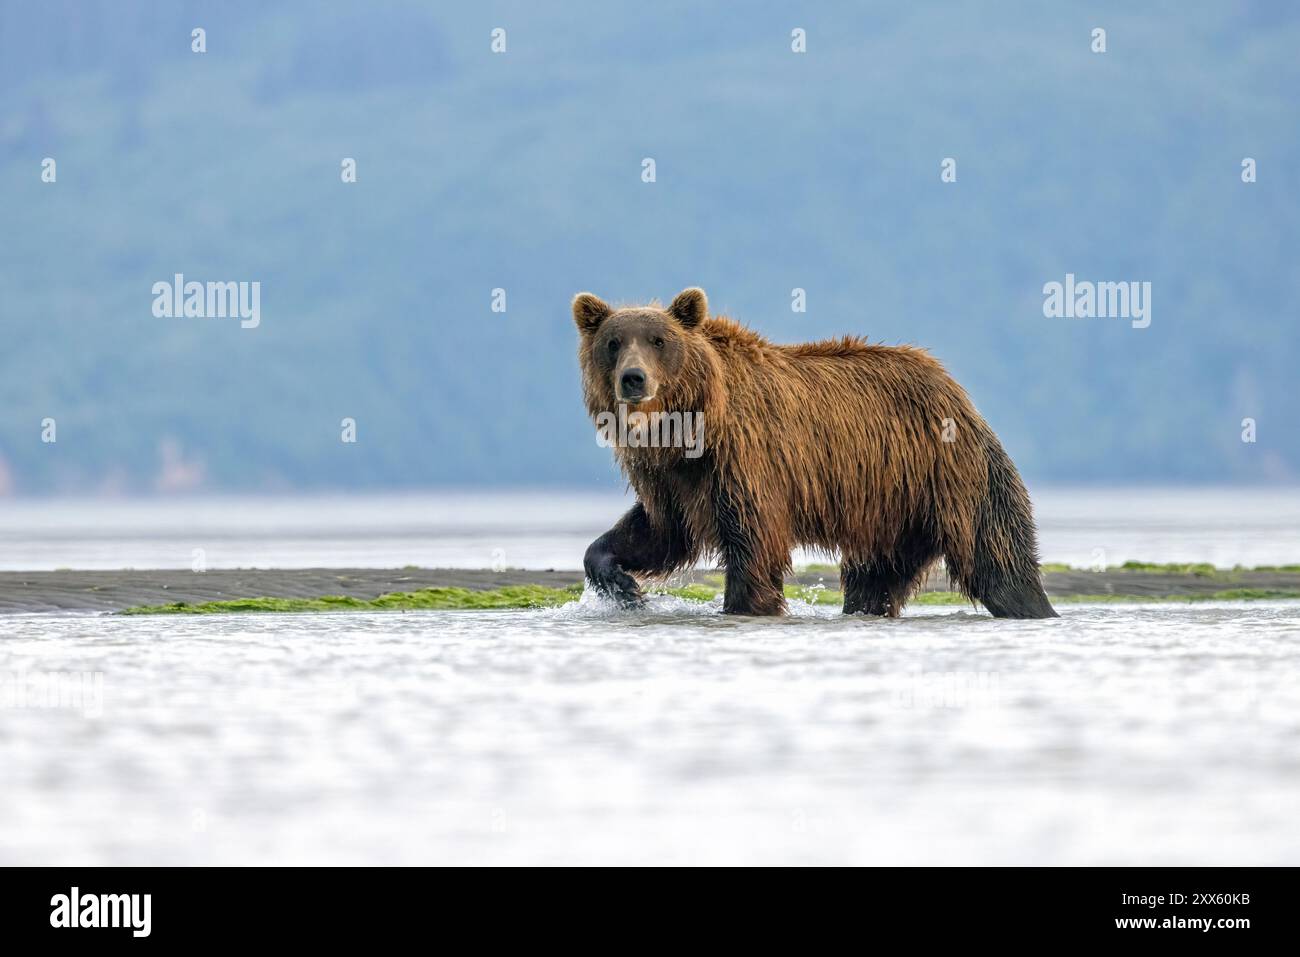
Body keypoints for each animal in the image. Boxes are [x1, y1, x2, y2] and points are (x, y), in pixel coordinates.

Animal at [575, 287, 1057, 619]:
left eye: (658, 340)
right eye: (614, 342)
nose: (633, 378)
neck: (687, 428)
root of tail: (955, 389)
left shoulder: (745, 462)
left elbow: (753, 544)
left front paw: (745, 605)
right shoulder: (674, 479)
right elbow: (659, 532)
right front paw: (622, 584)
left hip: (951, 476)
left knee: (997, 558)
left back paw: (1033, 606)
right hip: (893, 510)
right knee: (875, 578)